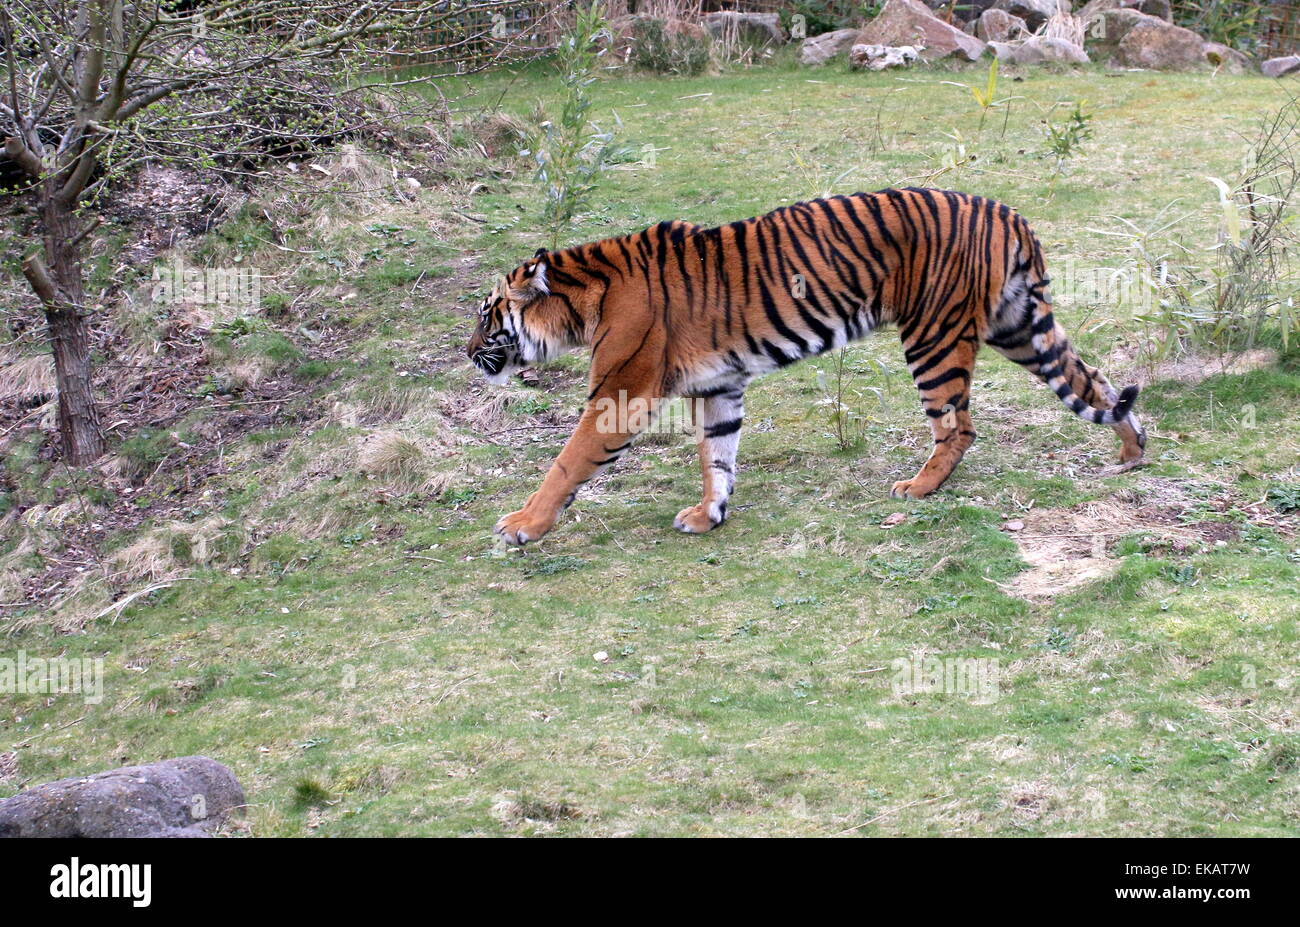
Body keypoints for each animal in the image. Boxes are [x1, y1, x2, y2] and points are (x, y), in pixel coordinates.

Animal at [466, 187, 1146, 545]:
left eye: (486, 314)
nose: (468, 354)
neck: (581, 300)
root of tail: (1007, 211)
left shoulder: (619, 393)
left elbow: (567, 461)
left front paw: (523, 524)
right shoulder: (720, 385)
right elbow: (717, 457)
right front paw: (709, 514)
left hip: (933, 336)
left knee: (958, 426)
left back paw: (919, 487)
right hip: (1019, 328)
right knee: (1095, 382)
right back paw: (1132, 450)